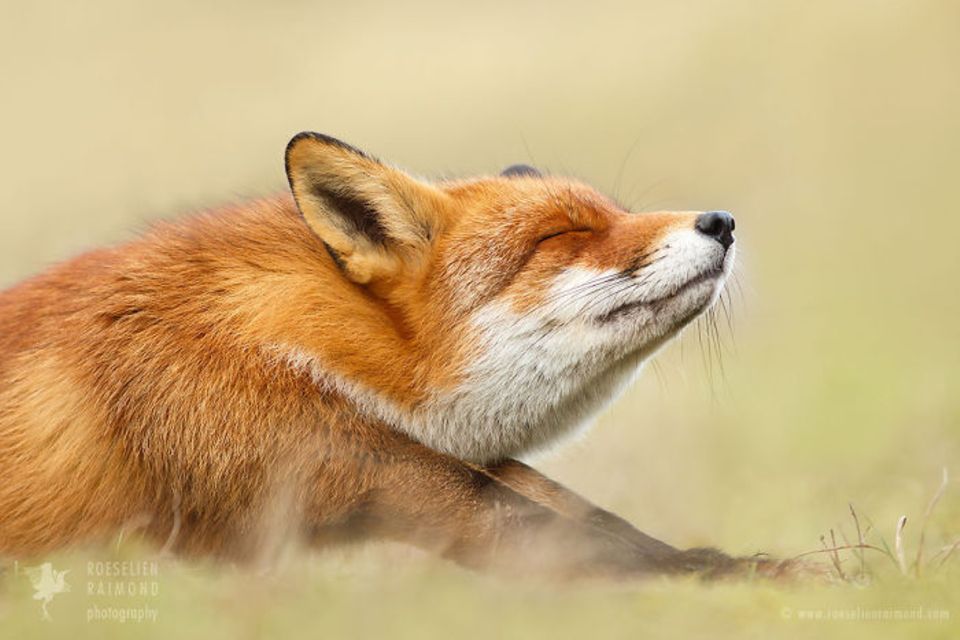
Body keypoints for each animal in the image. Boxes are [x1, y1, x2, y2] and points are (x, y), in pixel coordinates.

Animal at [0, 132, 776, 579]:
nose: (723, 220)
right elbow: (550, 532)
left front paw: (732, 565)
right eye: (563, 234)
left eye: (613, 213)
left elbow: (589, 517)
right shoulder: (324, 463)